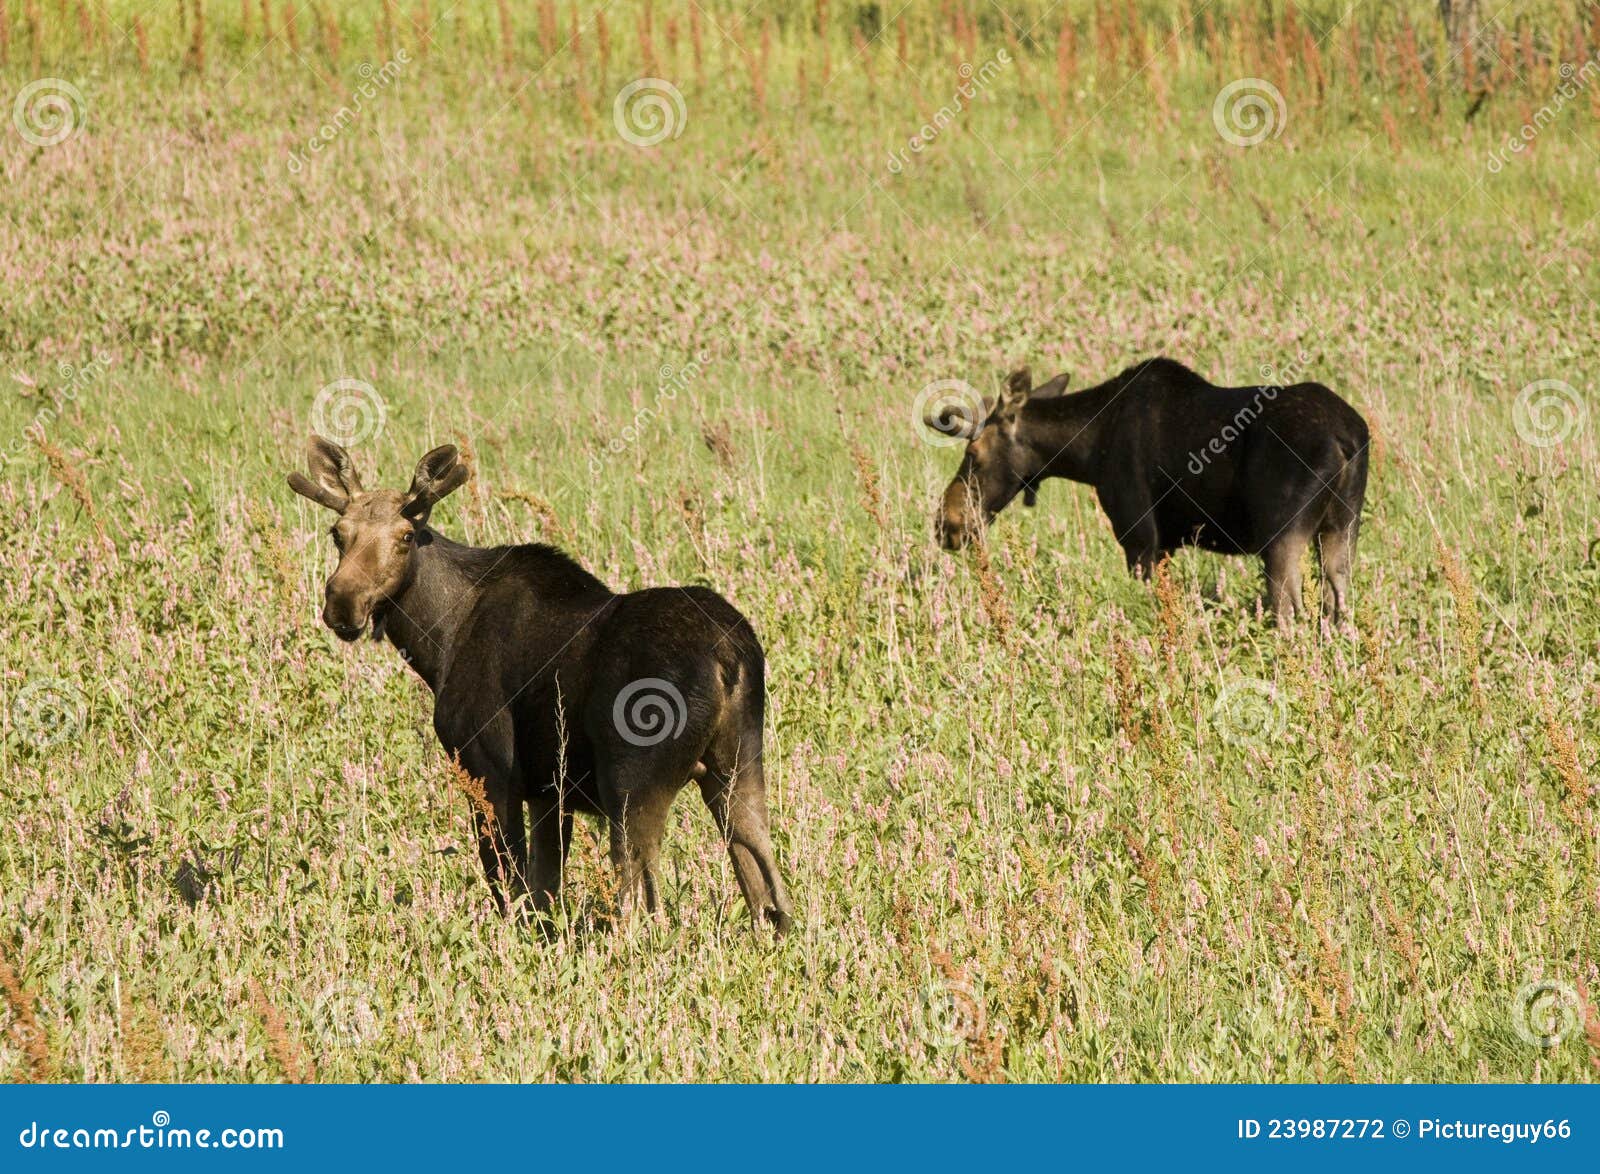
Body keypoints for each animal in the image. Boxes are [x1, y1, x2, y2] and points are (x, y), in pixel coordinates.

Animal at [287, 435, 793, 935]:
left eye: (406, 536)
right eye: (338, 533)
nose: (343, 602)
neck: (438, 641)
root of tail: (730, 657)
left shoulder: (489, 769)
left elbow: (508, 886)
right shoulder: (550, 792)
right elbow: (545, 891)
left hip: (631, 780)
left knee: (644, 900)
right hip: (738, 763)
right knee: (765, 875)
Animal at [930, 357, 1370, 627]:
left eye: (973, 454)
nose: (946, 523)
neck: (1088, 452)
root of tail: (1345, 440)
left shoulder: (1139, 536)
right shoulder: (1168, 543)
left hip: (1282, 535)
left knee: (1289, 612)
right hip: (1342, 529)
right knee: (1338, 605)